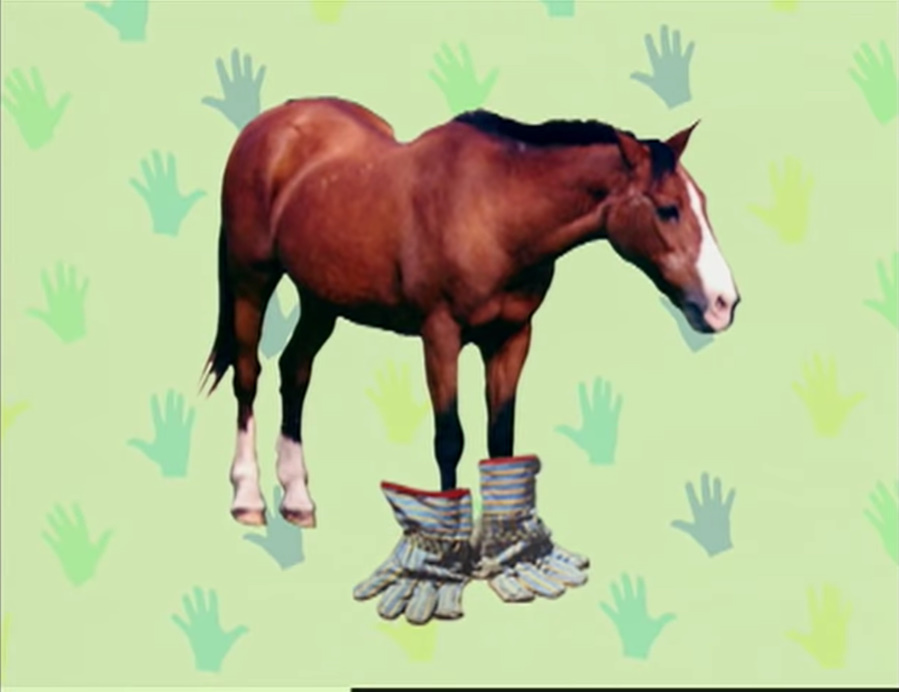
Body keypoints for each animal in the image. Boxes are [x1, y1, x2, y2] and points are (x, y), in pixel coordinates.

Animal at [200, 97, 740, 529]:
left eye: (702, 202)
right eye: (668, 208)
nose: (723, 303)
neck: (495, 208)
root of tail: (265, 126)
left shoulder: (512, 336)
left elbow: (501, 439)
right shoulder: (440, 335)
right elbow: (450, 438)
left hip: (321, 298)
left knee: (295, 372)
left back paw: (298, 501)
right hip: (252, 280)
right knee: (247, 376)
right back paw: (247, 499)